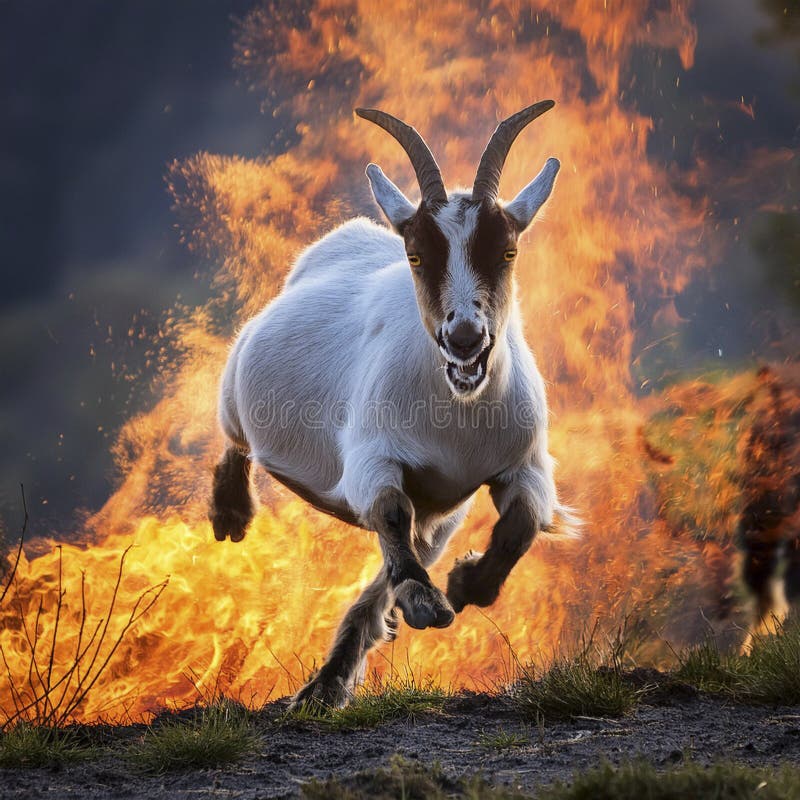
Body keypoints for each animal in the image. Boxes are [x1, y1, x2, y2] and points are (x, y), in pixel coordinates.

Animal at [209, 102, 574, 707]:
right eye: (417, 255)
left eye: (508, 251)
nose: (465, 339)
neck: (458, 419)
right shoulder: (370, 455)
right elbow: (389, 508)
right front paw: (426, 601)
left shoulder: (523, 464)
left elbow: (522, 521)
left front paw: (462, 585)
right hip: (235, 389)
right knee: (235, 441)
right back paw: (230, 514)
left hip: (446, 513)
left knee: (411, 550)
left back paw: (329, 683)